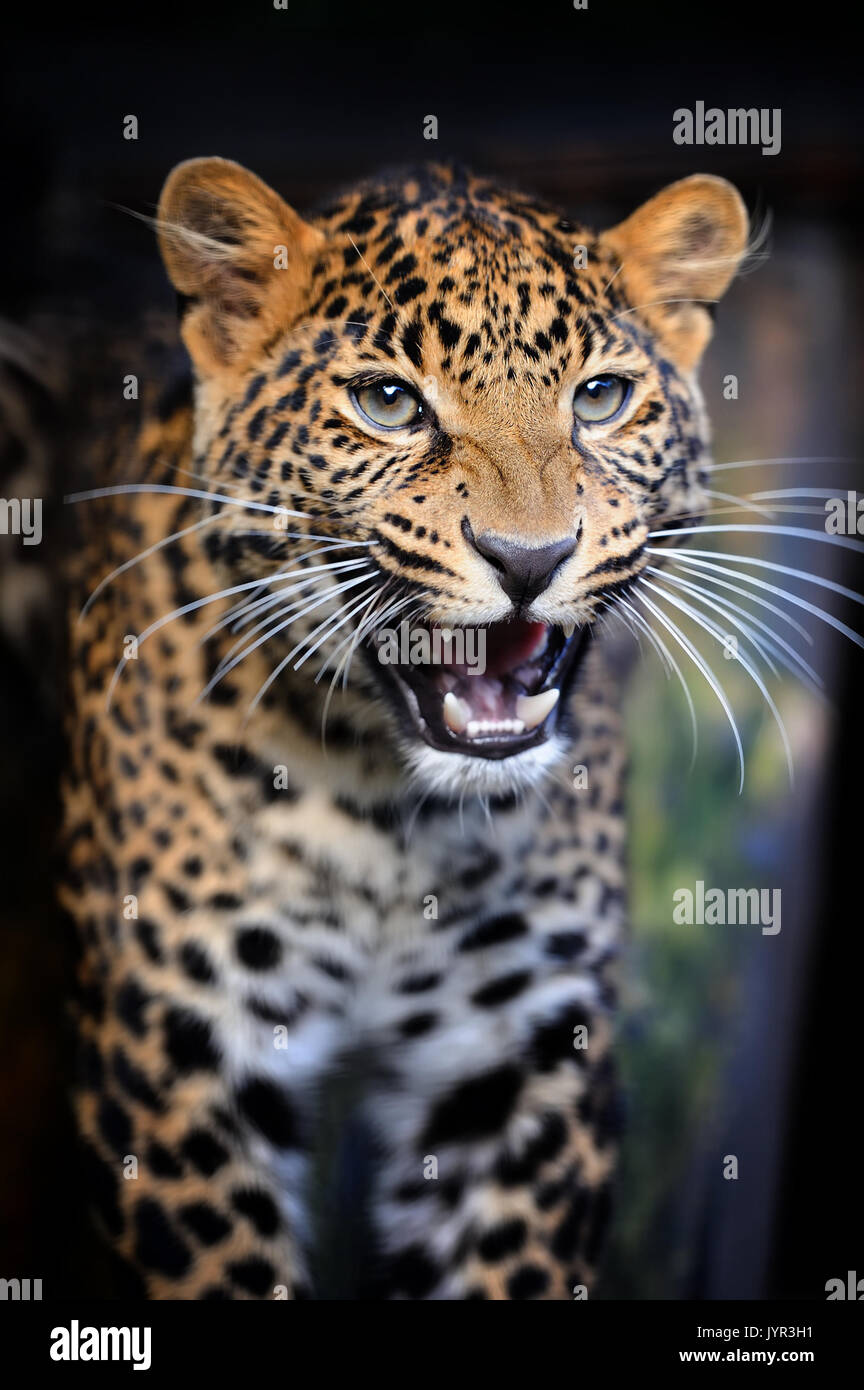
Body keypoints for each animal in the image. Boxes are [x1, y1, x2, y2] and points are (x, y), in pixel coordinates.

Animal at [56, 157, 748, 1299]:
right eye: (388, 403)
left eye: (599, 398)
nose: (529, 558)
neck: (394, 816)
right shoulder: (179, 1042)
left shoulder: (523, 1046)